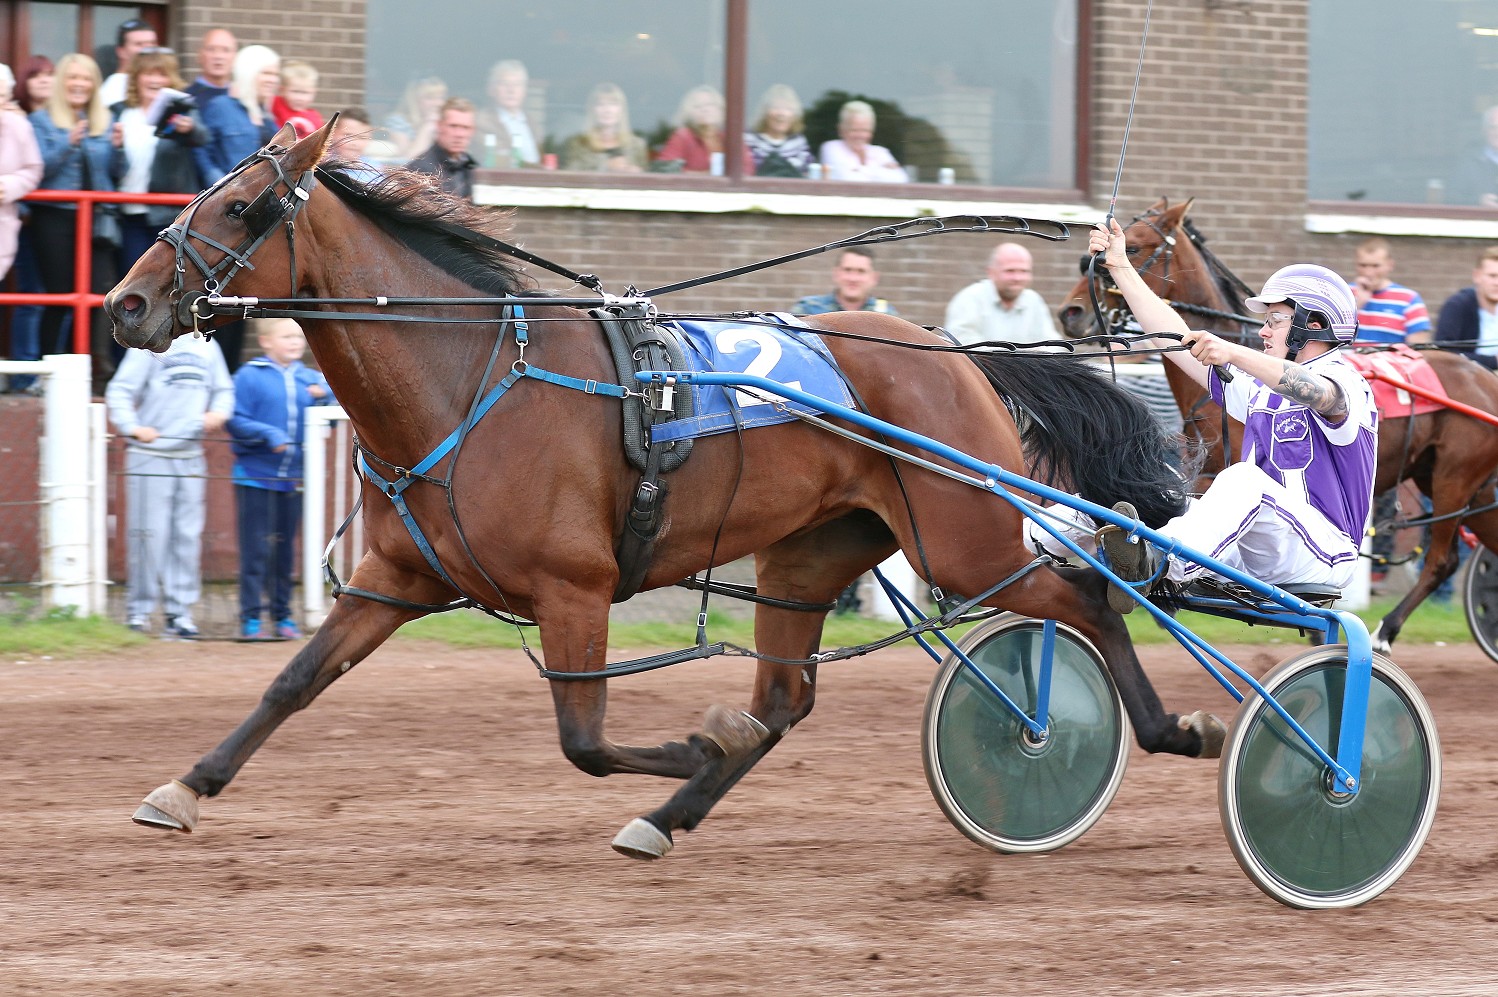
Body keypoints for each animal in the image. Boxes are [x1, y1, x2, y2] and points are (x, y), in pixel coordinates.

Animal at [105, 122, 1221, 859]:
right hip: (810, 552)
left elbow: (585, 739)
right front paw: (183, 786)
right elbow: (293, 682)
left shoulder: (574, 587)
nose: (124, 303)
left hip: (965, 535)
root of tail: (956, 353)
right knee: (785, 700)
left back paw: (1159, 728)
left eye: (239, 207)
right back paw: (671, 814)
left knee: (1085, 597)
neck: (469, 377)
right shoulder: (395, 577)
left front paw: (692, 739)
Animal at [1057, 197, 1498, 657]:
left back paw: (1383, 633)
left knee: (1440, 561)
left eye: (1140, 246)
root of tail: (1485, 377)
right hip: (1468, 488)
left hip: (1452, 481)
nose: (1071, 312)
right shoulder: (1202, 473)